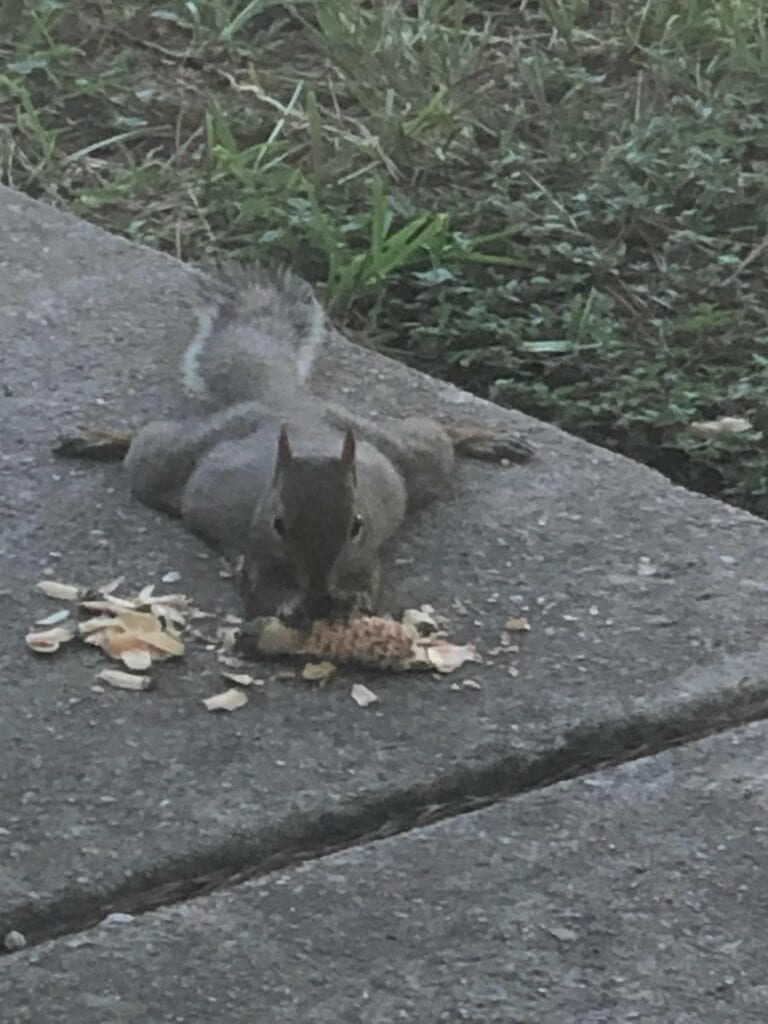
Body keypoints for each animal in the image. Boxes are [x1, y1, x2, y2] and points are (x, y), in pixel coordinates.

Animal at [77, 265, 534, 622]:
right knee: (148, 440)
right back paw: (107, 439)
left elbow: (368, 583)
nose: (318, 589)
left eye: (357, 525)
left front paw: (352, 604)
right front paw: (288, 607)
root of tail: (283, 400)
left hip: (408, 452)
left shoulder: (367, 553)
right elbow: (260, 592)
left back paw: (481, 437)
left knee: (434, 435)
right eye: (277, 523)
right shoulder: (254, 554)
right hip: (167, 459)